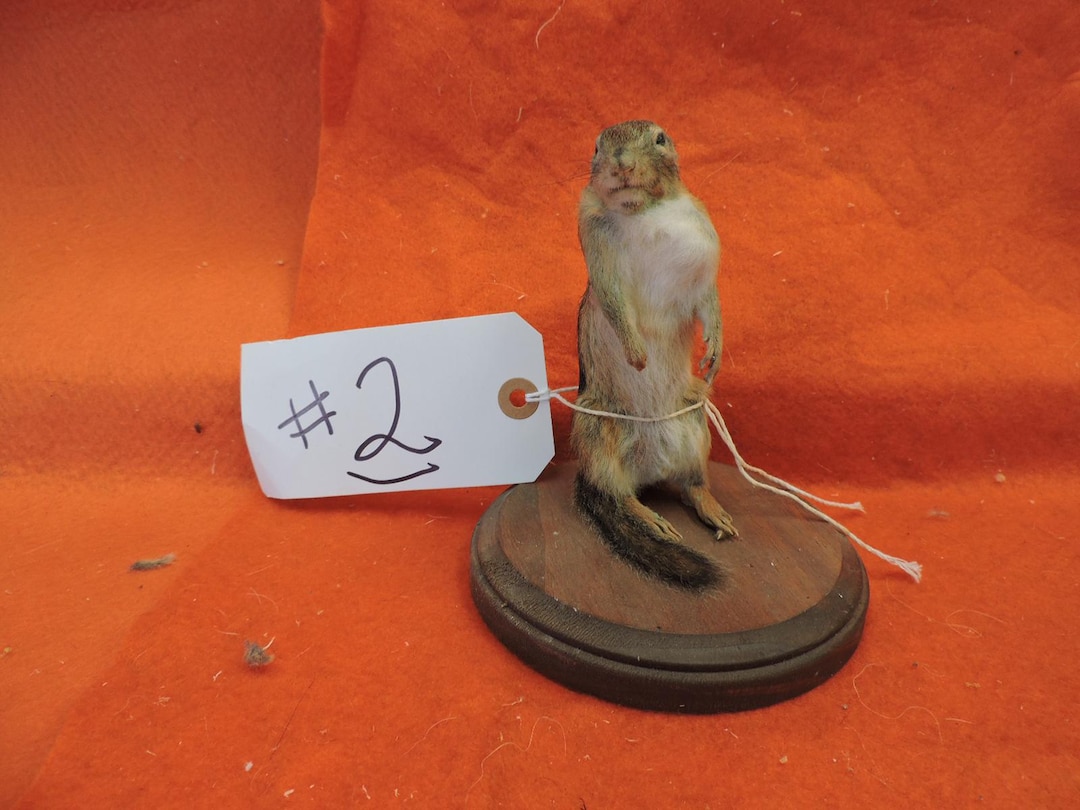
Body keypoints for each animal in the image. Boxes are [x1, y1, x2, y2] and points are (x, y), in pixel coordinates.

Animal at [571, 120, 737, 591]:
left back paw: (715, 511)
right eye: (596, 146)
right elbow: (614, 304)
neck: (643, 212)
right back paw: (652, 520)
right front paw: (637, 355)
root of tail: (651, 468)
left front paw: (714, 352)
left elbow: (710, 303)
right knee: (615, 495)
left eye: (660, 138)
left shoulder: (701, 248)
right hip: (595, 433)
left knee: (693, 485)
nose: (623, 164)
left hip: (696, 426)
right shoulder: (597, 248)